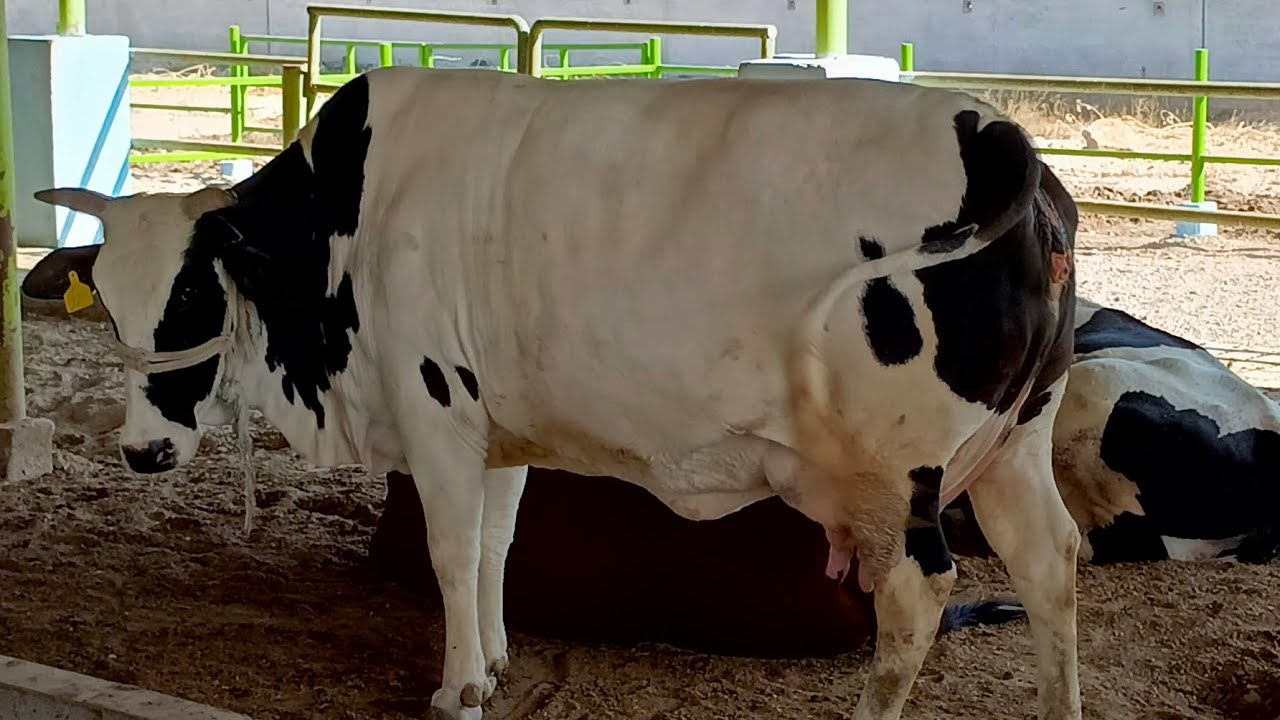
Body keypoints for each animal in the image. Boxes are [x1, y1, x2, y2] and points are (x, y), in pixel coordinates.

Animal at [29, 66, 1081, 720]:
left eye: (194, 292)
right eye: (109, 304)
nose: (144, 451)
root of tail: (1002, 137)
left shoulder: (436, 412)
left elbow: (452, 552)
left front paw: (456, 689)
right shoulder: (500, 427)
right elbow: (498, 542)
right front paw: (493, 661)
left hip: (901, 475)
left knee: (916, 598)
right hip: (1017, 447)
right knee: (1051, 562)